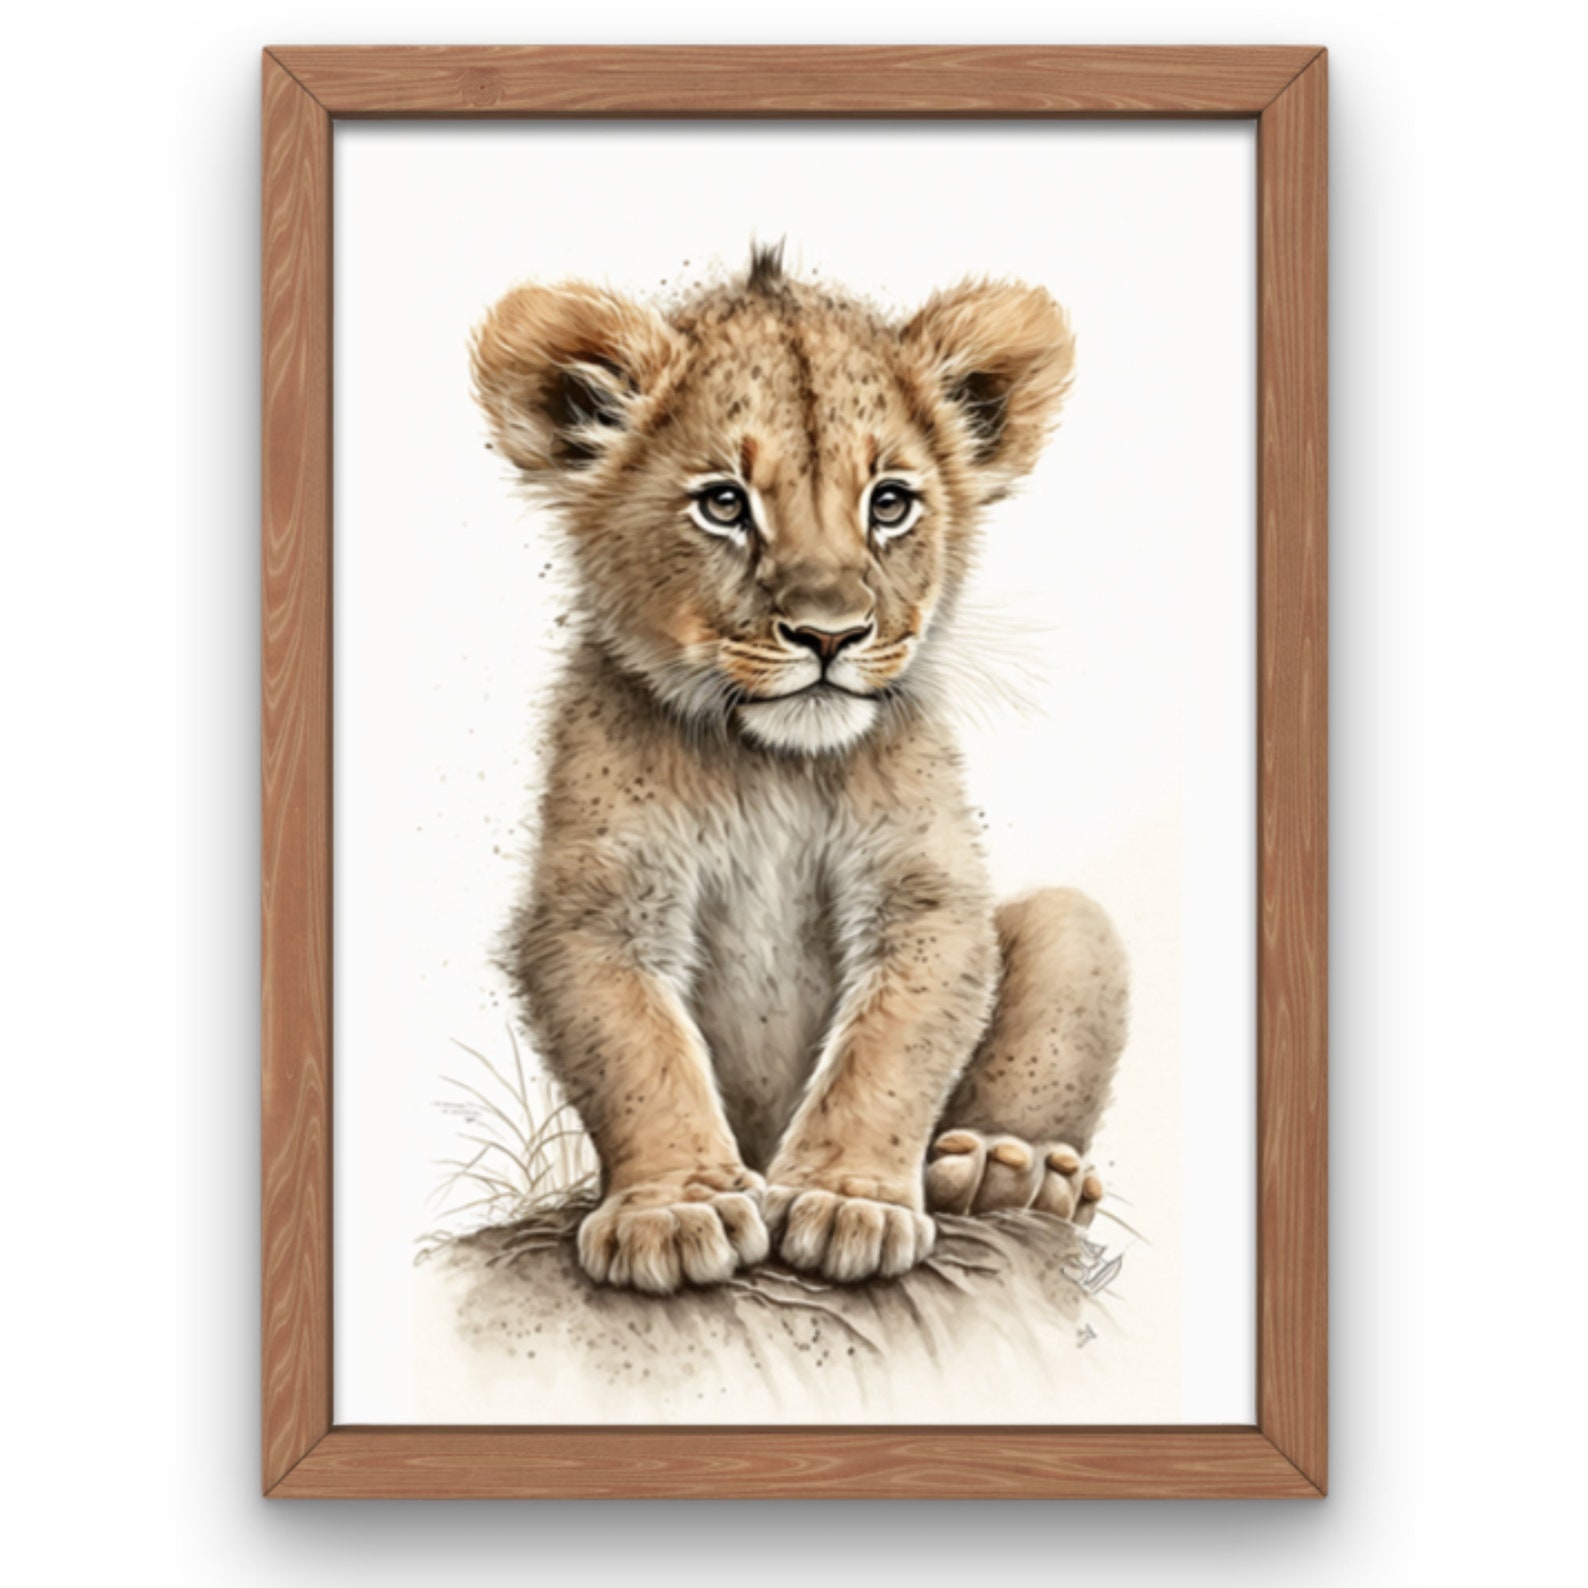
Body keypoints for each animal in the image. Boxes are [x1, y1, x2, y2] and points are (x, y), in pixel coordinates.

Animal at [470, 244, 1129, 1294]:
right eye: (725, 504)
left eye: (889, 501)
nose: (830, 634)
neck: (771, 769)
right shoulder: (596, 904)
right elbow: (641, 1051)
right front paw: (674, 1212)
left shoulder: (922, 893)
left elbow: (889, 1051)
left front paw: (849, 1201)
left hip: (1072, 929)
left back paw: (1002, 1168)